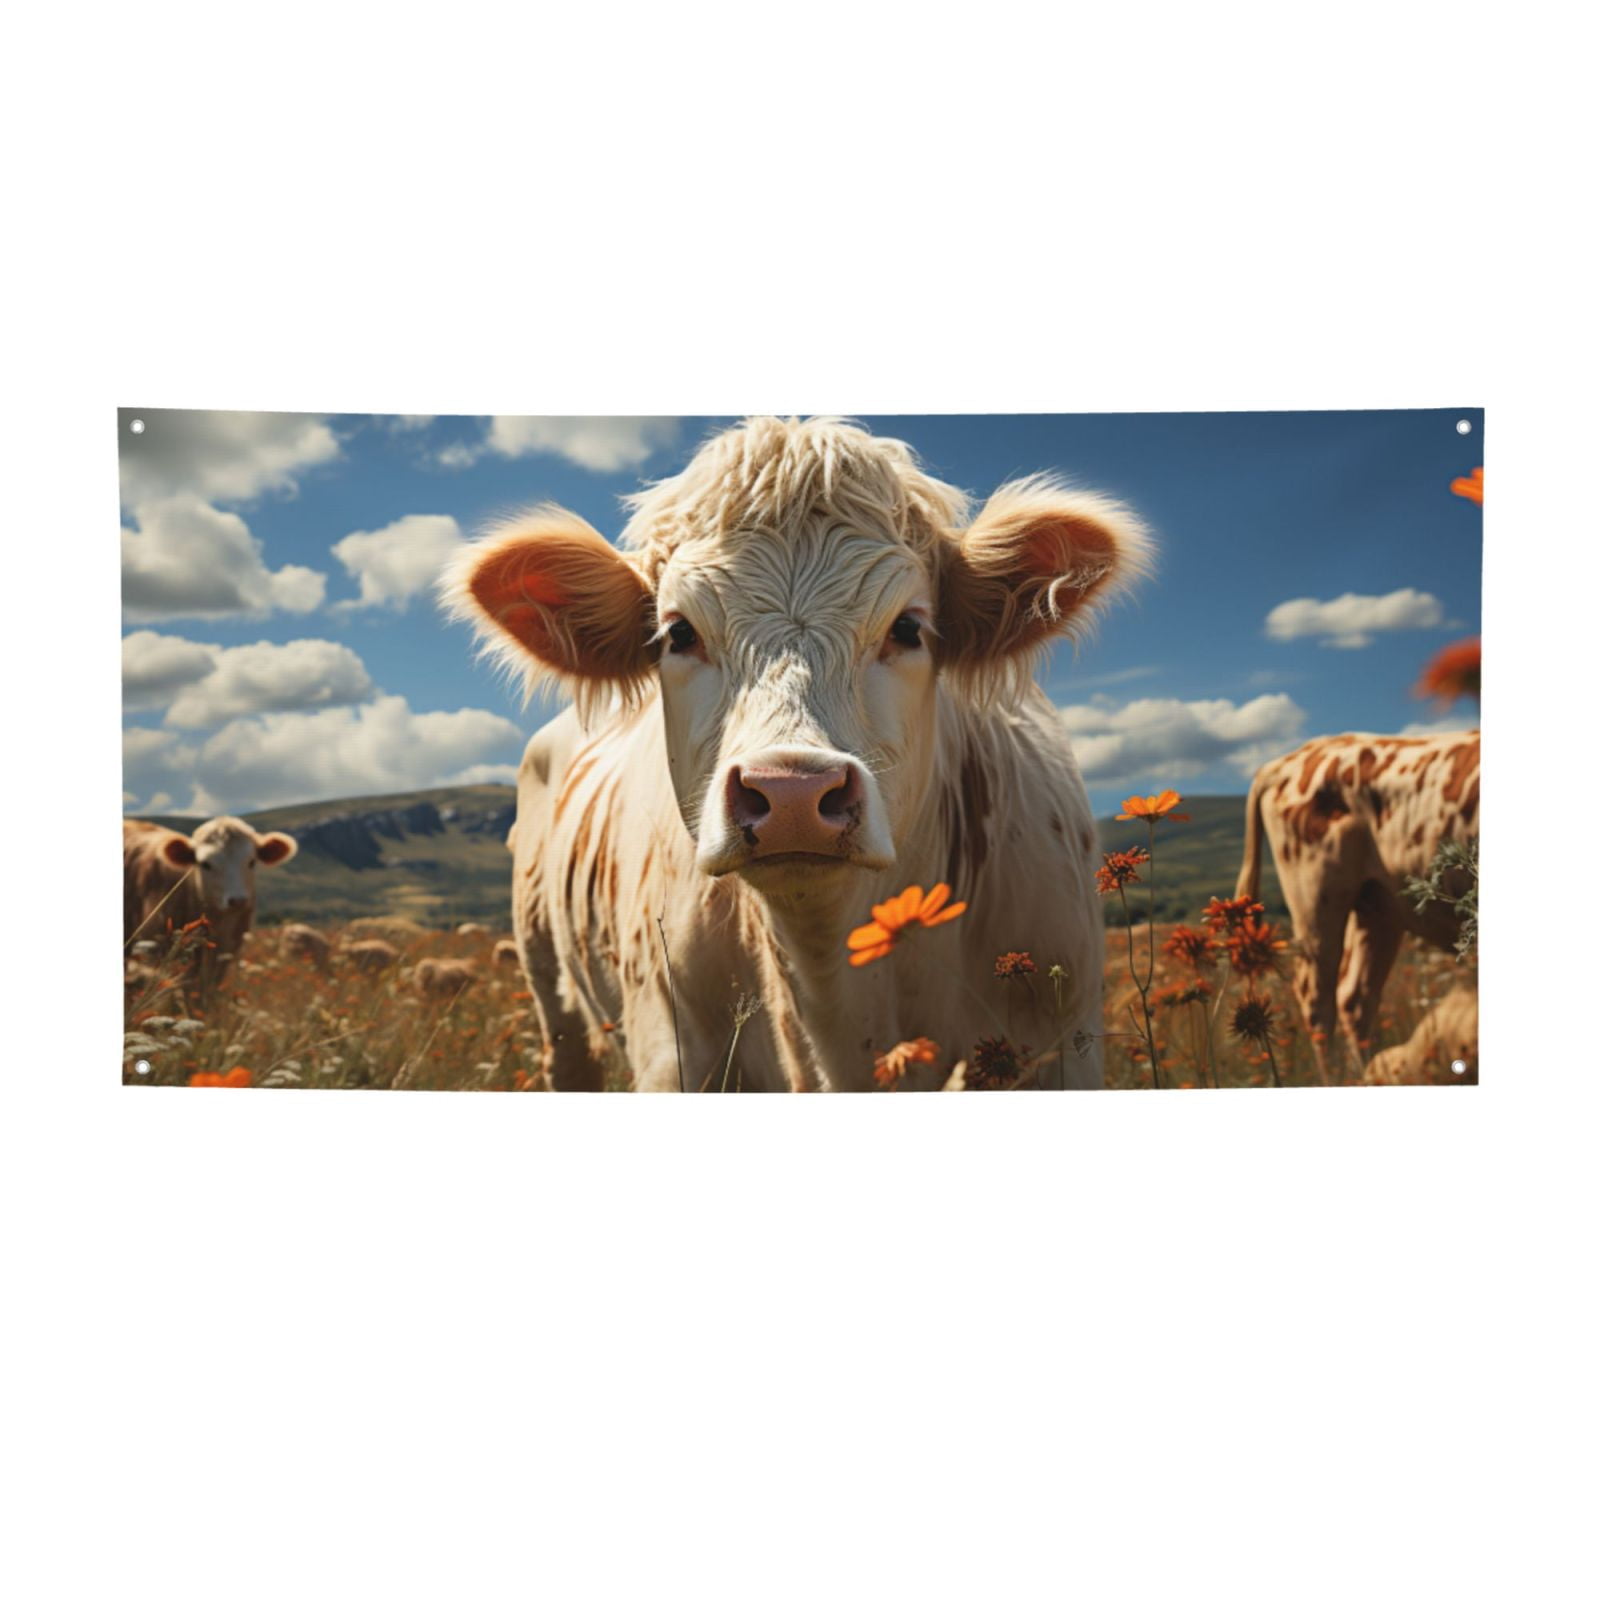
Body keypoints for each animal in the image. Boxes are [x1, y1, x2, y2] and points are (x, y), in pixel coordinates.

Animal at [444, 416, 1152, 1091]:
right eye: (678, 634)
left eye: (909, 627)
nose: (790, 793)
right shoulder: (673, 1055)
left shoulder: (1065, 1044)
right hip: (548, 984)